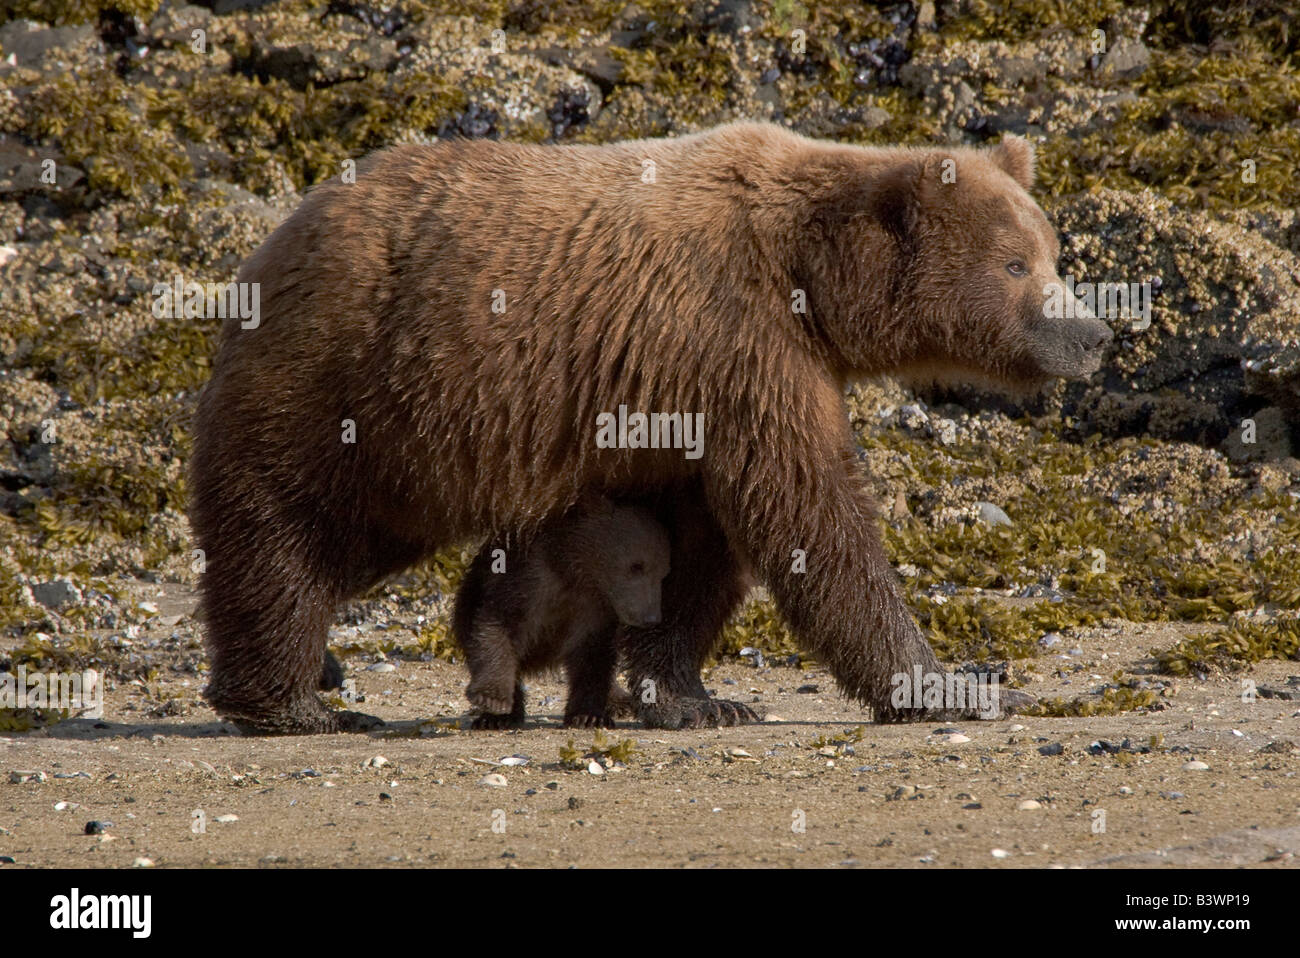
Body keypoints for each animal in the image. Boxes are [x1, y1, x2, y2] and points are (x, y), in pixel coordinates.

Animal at [453, 496, 670, 729]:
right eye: (636, 566)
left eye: (663, 573)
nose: (651, 618)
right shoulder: (527, 581)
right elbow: (498, 625)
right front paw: (493, 702)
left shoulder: (593, 610)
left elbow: (591, 656)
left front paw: (588, 716)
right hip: (469, 592)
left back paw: (619, 700)